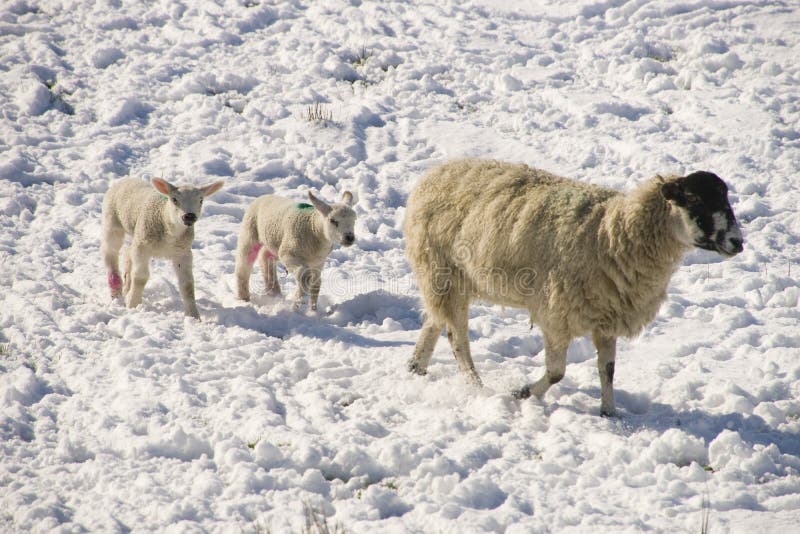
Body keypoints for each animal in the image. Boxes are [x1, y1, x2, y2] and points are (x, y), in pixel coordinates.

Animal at [101, 177, 224, 319]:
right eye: (174, 199)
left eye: (201, 200)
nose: (189, 216)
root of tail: (128, 178)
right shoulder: (142, 247)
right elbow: (141, 277)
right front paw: (133, 304)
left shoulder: (183, 253)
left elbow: (187, 285)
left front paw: (193, 316)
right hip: (112, 220)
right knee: (110, 252)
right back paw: (115, 291)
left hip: (136, 234)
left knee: (127, 252)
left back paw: (126, 287)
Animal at [404, 159, 743, 416]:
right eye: (695, 199)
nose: (738, 242)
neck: (610, 232)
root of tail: (436, 172)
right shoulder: (557, 314)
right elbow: (557, 372)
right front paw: (523, 393)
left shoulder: (608, 317)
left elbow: (608, 369)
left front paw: (609, 412)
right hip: (443, 271)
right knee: (457, 336)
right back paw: (474, 384)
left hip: (449, 279)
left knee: (435, 321)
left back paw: (416, 367)